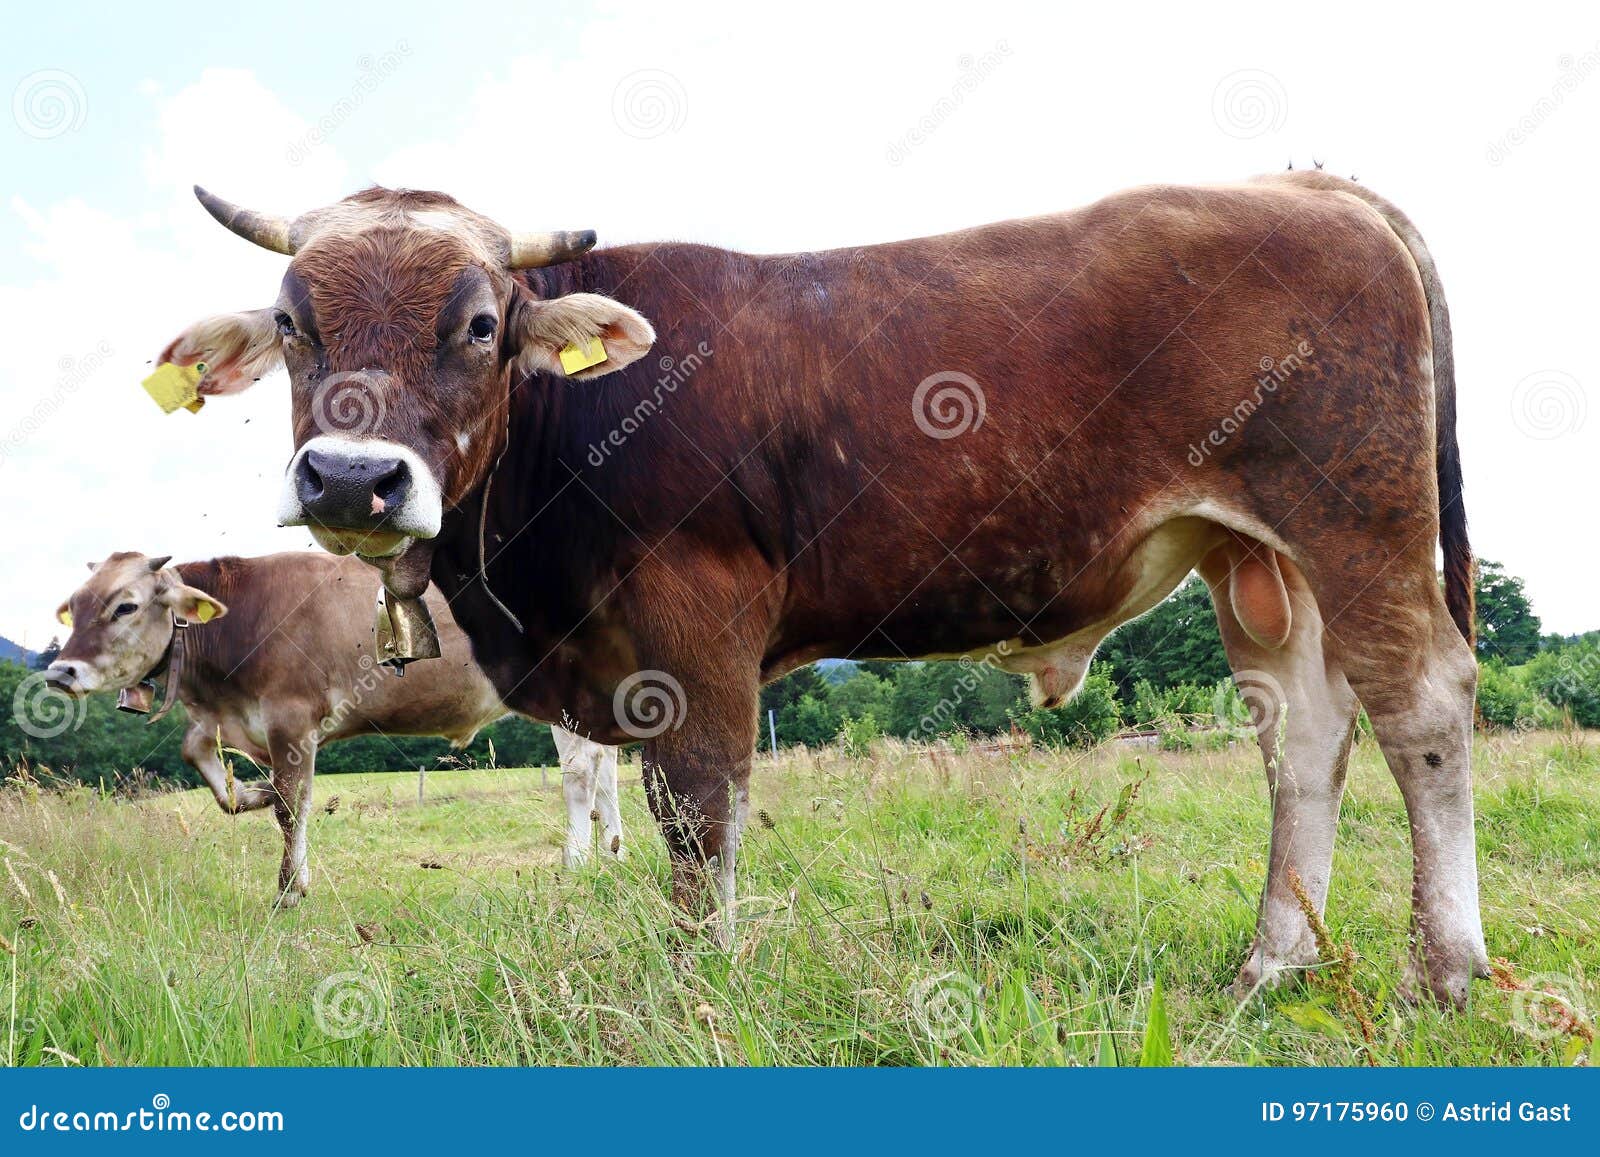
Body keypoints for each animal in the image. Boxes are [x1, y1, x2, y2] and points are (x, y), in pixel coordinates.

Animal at [44, 551, 625, 904]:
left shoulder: (292, 717)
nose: (59, 672)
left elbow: (289, 805)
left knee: (580, 773)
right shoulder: (230, 718)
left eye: (126, 606)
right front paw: (250, 794)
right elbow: (202, 759)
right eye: (74, 605)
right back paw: (614, 853)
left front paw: (289, 890)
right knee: (607, 767)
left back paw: (577, 863)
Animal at [157, 171, 1487, 1005]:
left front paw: (698, 985)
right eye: (292, 321)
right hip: (1256, 558)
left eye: (480, 323)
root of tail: (1309, 185)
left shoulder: (696, 618)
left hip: (1353, 516)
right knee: (1303, 736)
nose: (353, 476)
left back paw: (1446, 968)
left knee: (1420, 704)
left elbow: (702, 810)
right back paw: (1272, 964)